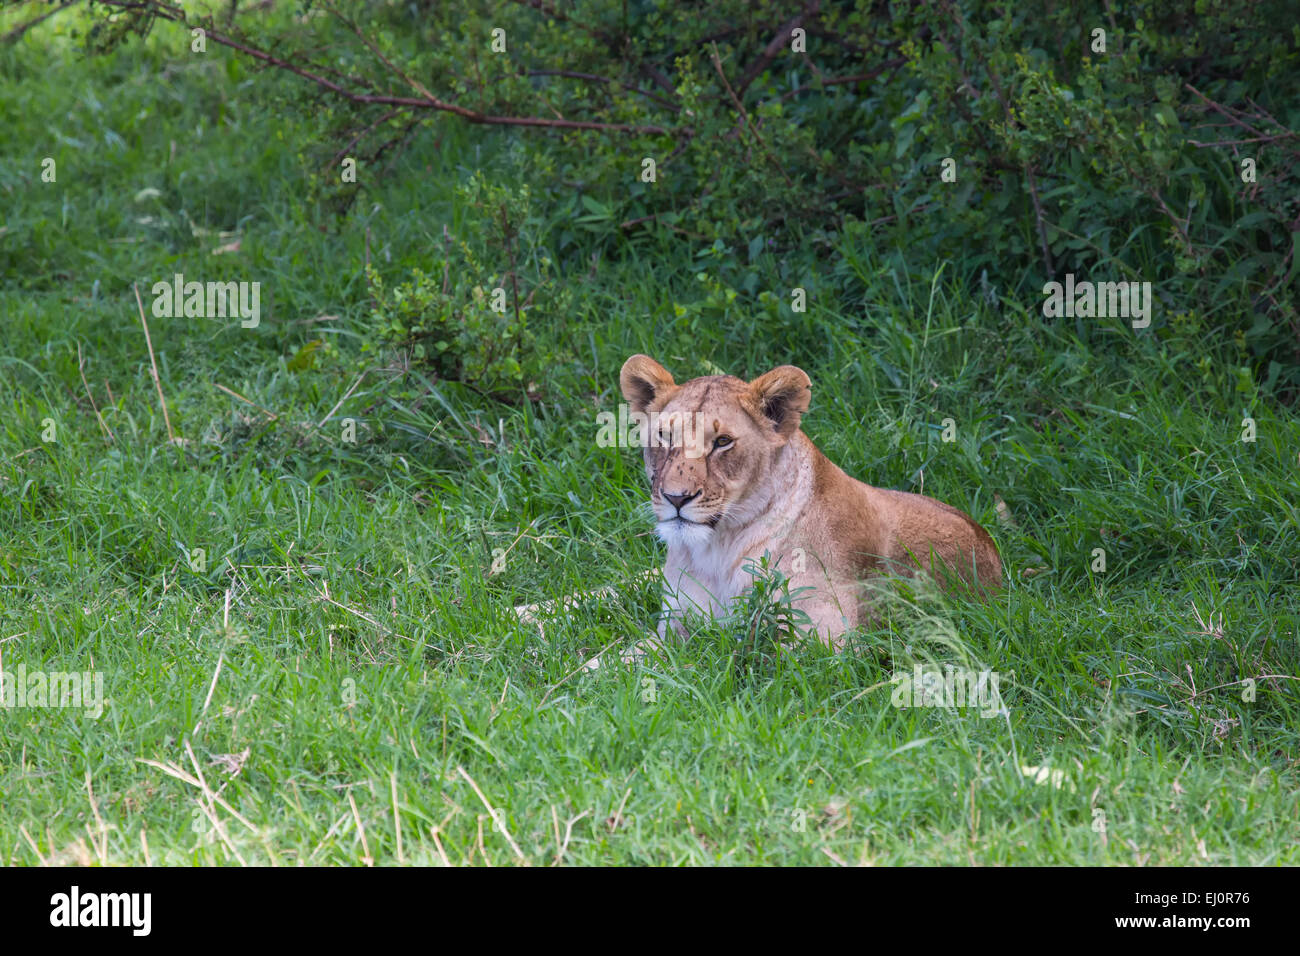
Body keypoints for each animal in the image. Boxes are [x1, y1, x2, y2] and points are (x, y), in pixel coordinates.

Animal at [619, 354, 1002, 651]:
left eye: (723, 442)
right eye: (664, 436)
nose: (676, 497)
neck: (716, 549)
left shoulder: (827, 642)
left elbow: (718, 654)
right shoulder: (673, 624)